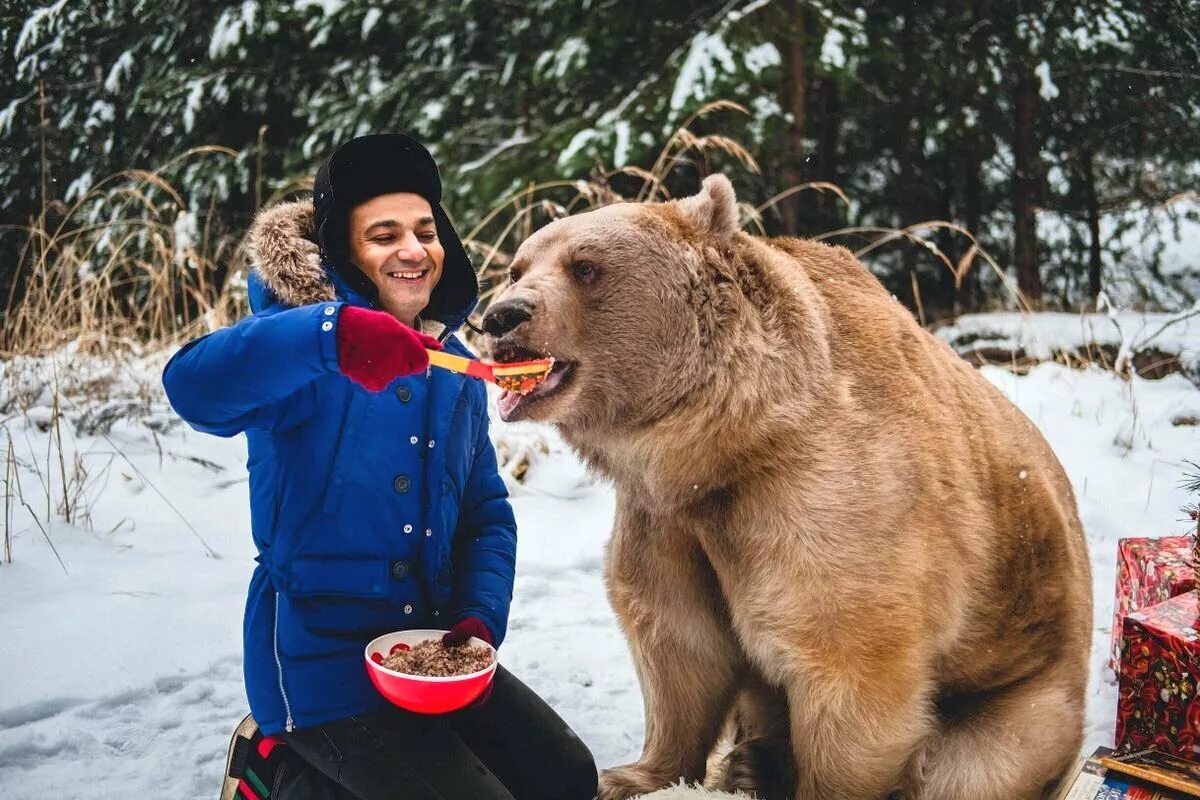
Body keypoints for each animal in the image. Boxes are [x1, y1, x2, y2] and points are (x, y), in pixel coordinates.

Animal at [482, 176, 1094, 800]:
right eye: (517, 268)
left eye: (585, 266)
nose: (503, 316)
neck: (719, 446)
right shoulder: (665, 519)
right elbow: (676, 640)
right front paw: (631, 774)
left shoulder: (825, 499)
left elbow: (848, 661)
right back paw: (751, 760)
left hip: (1026, 682)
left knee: (974, 765)